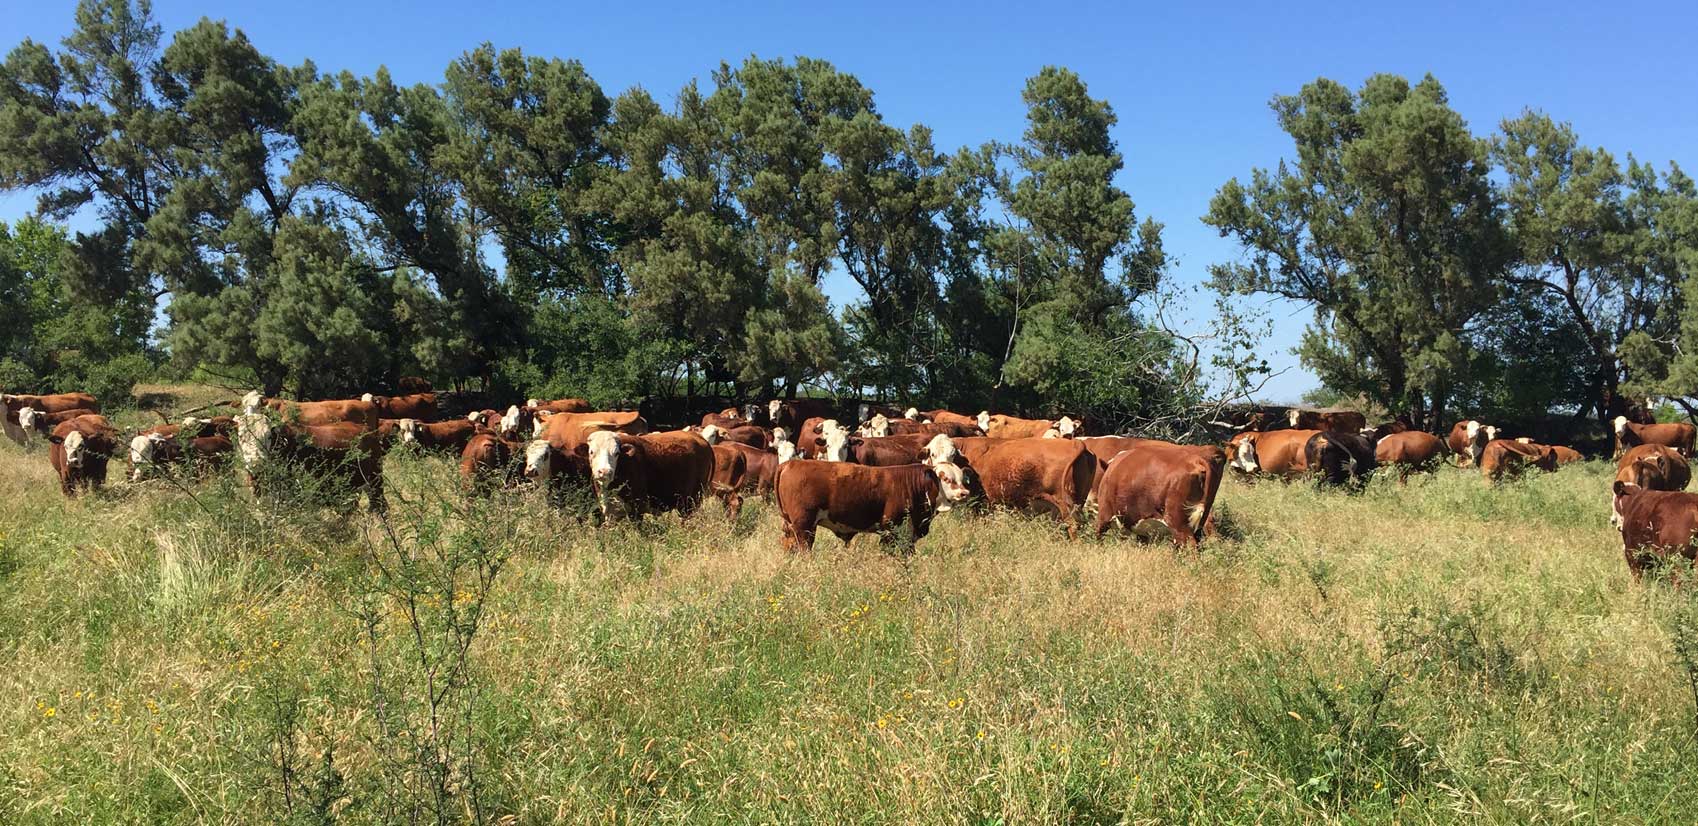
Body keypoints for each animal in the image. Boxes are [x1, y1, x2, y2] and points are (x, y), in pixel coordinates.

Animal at [574, 429, 715, 520]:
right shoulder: (610, 512)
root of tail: (698, 438)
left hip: (691, 500)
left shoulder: (637, 508)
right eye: (591, 452)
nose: (604, 471)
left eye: (616, 453)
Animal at [773, 459, 970, 553]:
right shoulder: (890, 529)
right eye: (945, 478)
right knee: (804, 548)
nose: (964, 493)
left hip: (791, 526)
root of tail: (790, 463)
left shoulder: (908, 534)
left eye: (961, 479)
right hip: (804, 526)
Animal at [1092, 441, 1226, 547]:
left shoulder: (1104, 514)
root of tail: (1197, 460)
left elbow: (1098, 536)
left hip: (1179, 523)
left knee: (1189, 545)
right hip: (1199, 521)